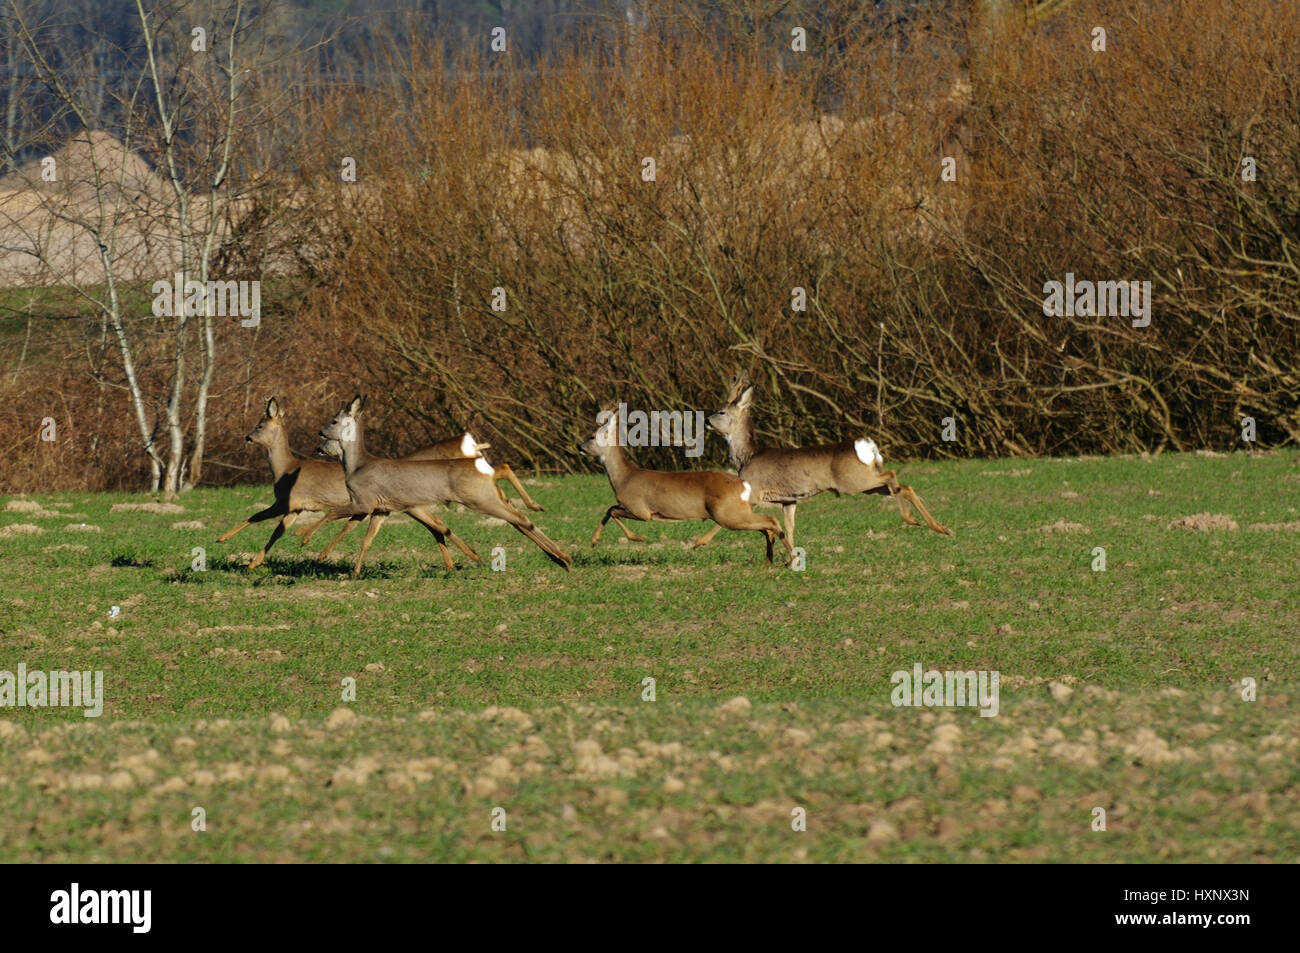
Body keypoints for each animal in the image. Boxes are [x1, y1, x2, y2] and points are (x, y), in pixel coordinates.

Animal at [218, 397, 480, 572]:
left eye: (259, 425)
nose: (247, 437)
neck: (284, 469)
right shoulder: (296, 508)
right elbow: (276, 532)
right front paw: (254, 561)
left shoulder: (286, 501)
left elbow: (255, 517)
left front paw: (224, 540)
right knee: (437, 526)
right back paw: (459, 562)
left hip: (409, 505)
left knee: (437, 526)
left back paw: (467, 558)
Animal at [317, 395, 571, 577]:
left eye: (333, 421)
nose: (319, 440)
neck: (358, 465)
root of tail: (473, 448)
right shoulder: (387, 507)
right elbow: (437, 529)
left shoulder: (382, 504)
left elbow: (439, 529)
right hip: (485, 491)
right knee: (511, 500)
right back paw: (557, 552)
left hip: (477, 496)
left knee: (518, 515)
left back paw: (562, 557)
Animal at [579, 409, 793, 565]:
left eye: (592, 436)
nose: (579, 446)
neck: (623, 477)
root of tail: (744, 485)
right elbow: (609, 509)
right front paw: (594, 541)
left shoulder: (640, 509)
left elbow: (613, 510)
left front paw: (638, 538)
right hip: (736, 512)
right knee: (767, 527)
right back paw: (768, 562)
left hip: (728, 513)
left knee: (771, 521)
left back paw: (790, 560)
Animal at [706, 375, 952, 550]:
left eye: (721, 411)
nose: (706, 420)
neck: (747, 456)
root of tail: (867, 446)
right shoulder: (788, 499)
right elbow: (790, 528)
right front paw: (792, 559)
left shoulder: (754, 491)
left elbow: (725, 519)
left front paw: (700, 542)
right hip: (867, 482)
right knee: (902, 486)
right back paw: (941, 528)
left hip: (852, 481)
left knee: (893, 477)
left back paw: (913, 520)